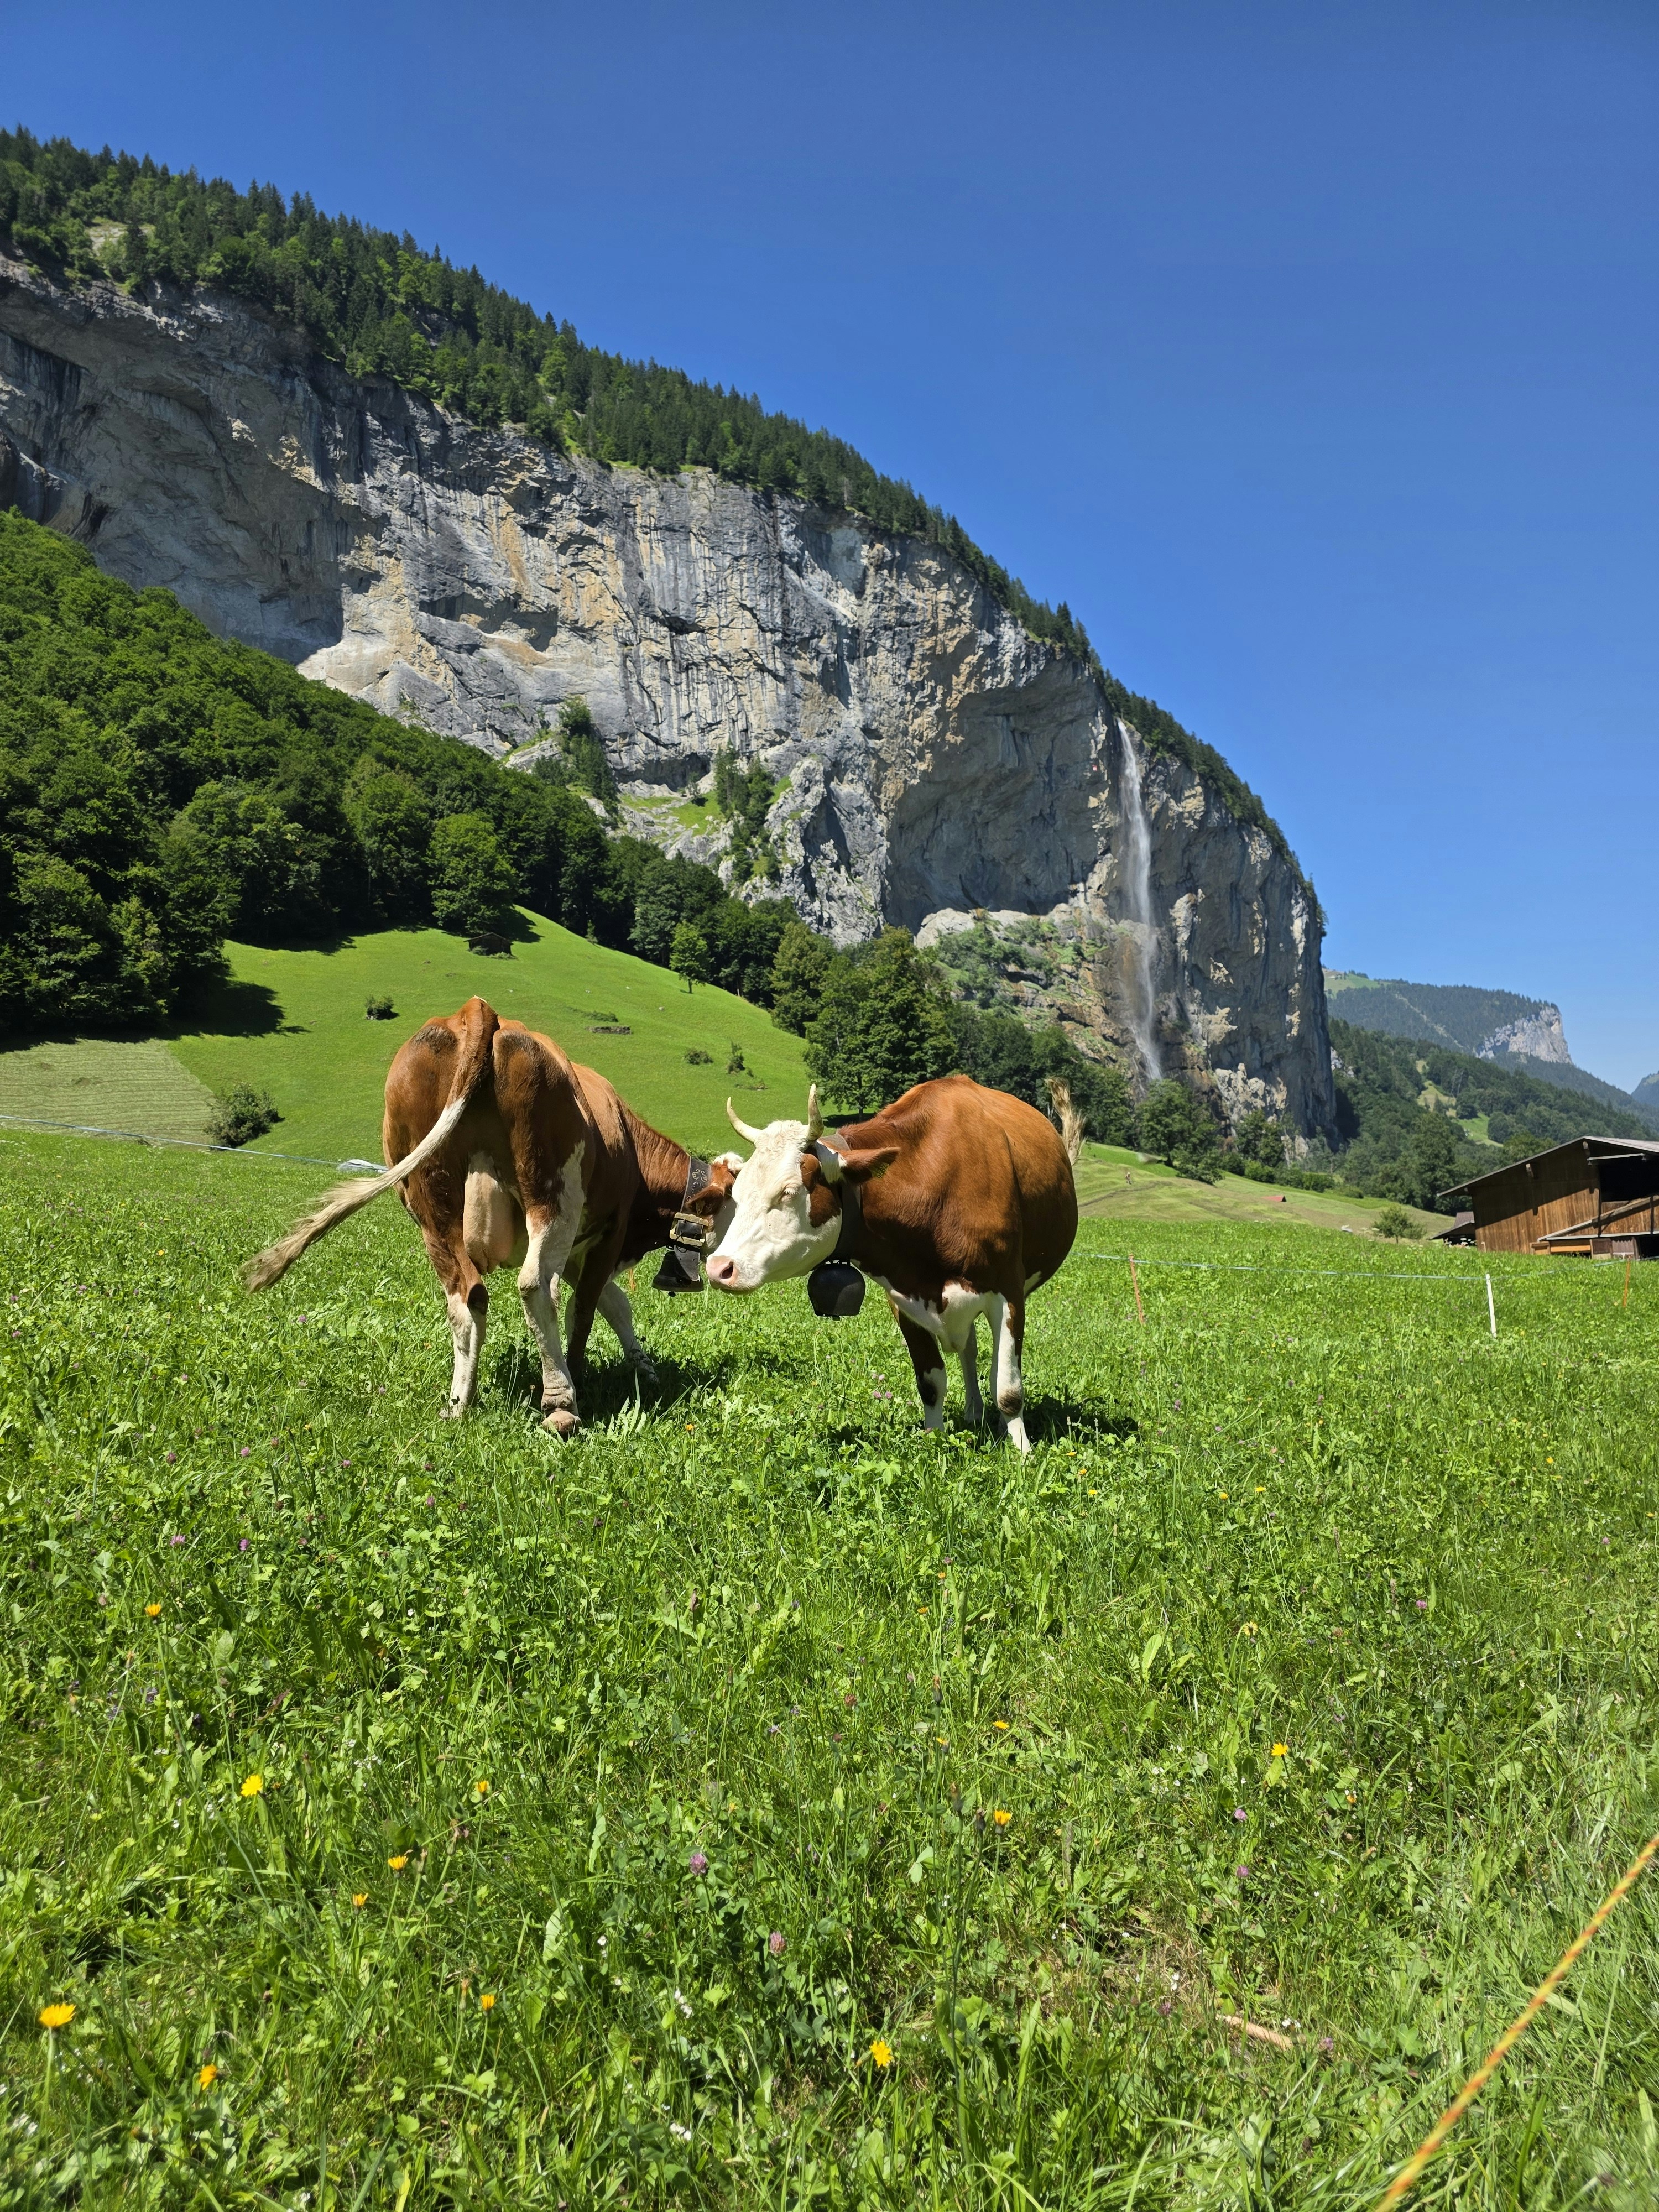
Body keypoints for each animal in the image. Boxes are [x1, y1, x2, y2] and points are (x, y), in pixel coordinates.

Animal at [242, 997, 739, 1434]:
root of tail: (477, 1011)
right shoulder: (604, 1235)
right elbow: (586, 1308)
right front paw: (581, 1375)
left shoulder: (580, 1248)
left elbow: (615, 1305)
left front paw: (643, 1367)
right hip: (550, 1193)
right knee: (534, 1286)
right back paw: (561, 1404)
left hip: (432, 1210)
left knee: (466, 1300)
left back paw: (460, 1402)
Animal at [706, 1075, 1077, 1452]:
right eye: (737, 1193)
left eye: (788, 1191)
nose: (719, 1268)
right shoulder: (905, 1296)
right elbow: (931, 1383)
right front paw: (932, 1442)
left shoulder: (1009, 1292)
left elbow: (1008, 1388)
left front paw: (1022, 1453)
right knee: (968, 1350)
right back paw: (974, 1412)